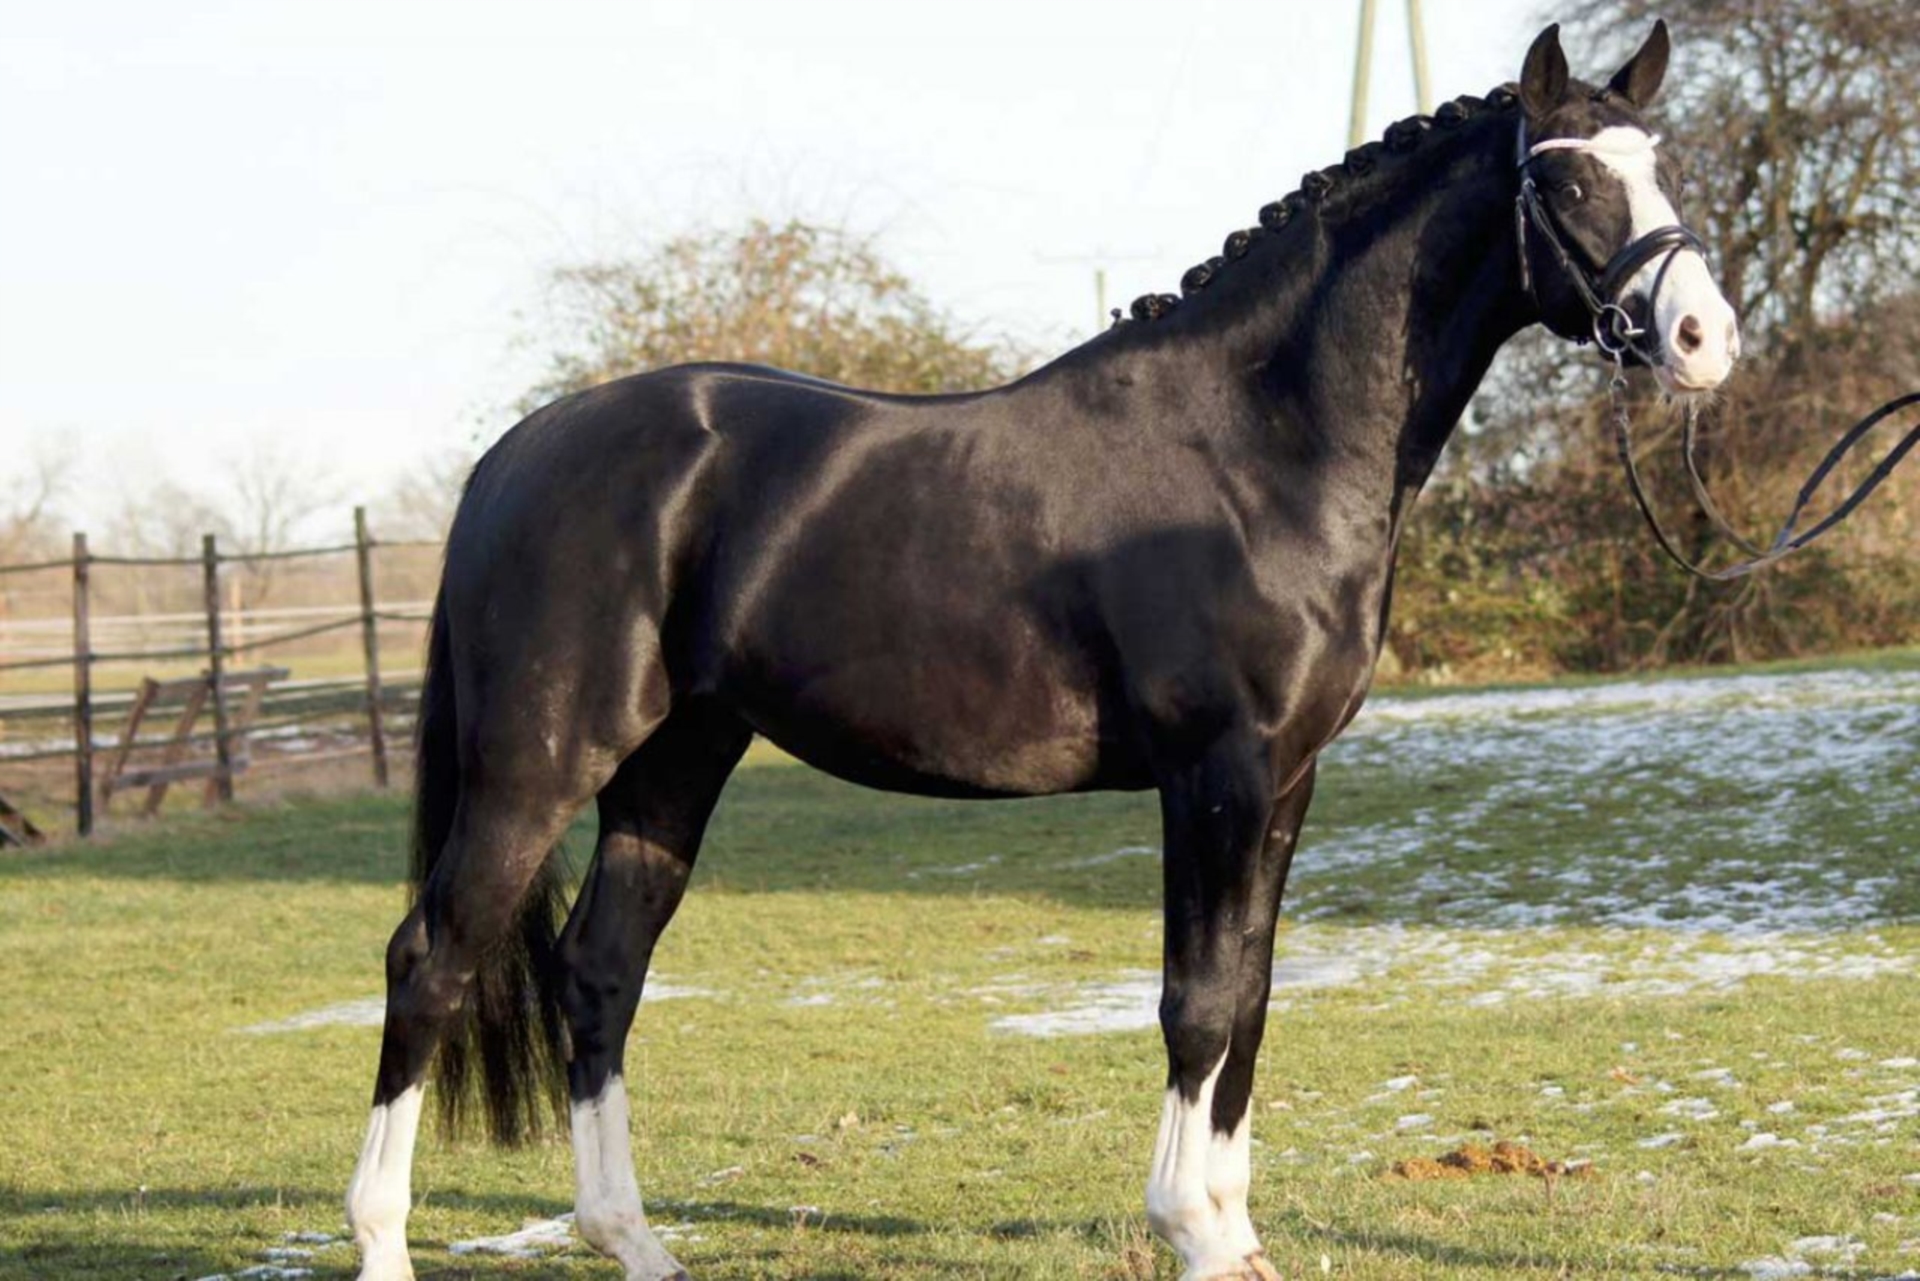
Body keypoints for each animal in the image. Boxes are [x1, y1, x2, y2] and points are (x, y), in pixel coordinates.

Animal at [346, 21, 1739, 1281]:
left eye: (1660, 165)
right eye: (1566, 178)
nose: (1702, 339)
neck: (1259, 445)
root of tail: (517, 452)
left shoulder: (1288, 781)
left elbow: (1253, 998)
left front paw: (1236, 1234)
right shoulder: (1216, 774)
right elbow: (1198, 1000)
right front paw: (1193, 1232)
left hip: (676, 759)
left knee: (599, 972)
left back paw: (631, 1243)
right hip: (538, 764)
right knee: (430, 961)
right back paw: (382, 1242)